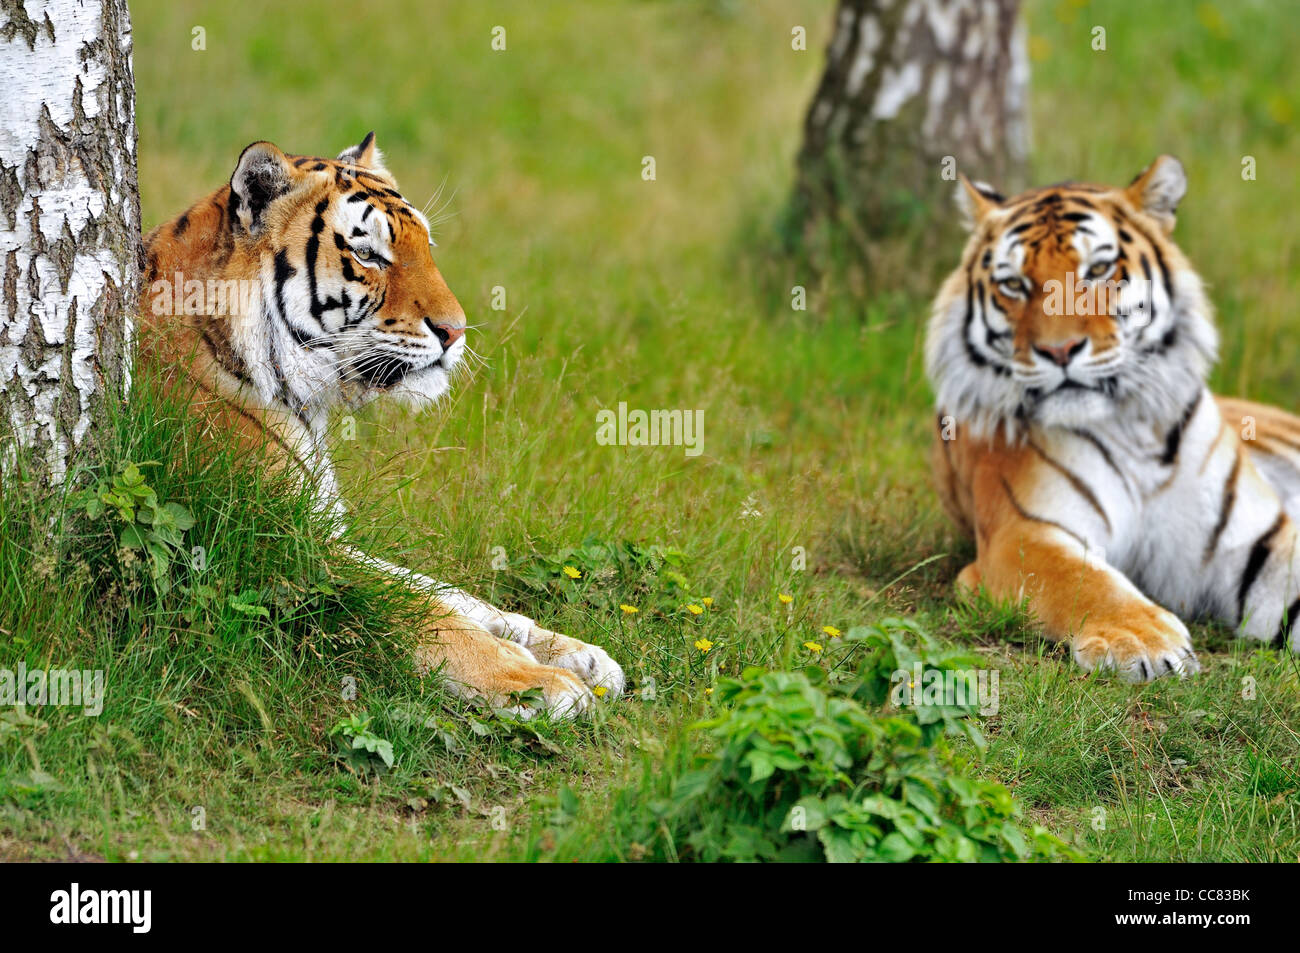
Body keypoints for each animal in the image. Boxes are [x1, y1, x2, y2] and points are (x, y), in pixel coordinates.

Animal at [139, 133, 624, 716]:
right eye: (367, 254)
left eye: (428, 247)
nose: (456, 331)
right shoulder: (277, 544)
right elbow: (421, 611)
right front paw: (536, 681)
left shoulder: (323, 530)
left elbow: (443, 591)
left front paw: (577, 653)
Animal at [927, 155, 1300, 681]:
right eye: (1014, 284)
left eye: (1099, 269)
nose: (1059, 350)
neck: (1135, 432)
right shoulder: (1022, 532)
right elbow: (1081, 579)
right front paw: (1142, 642)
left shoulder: (1254, 539)